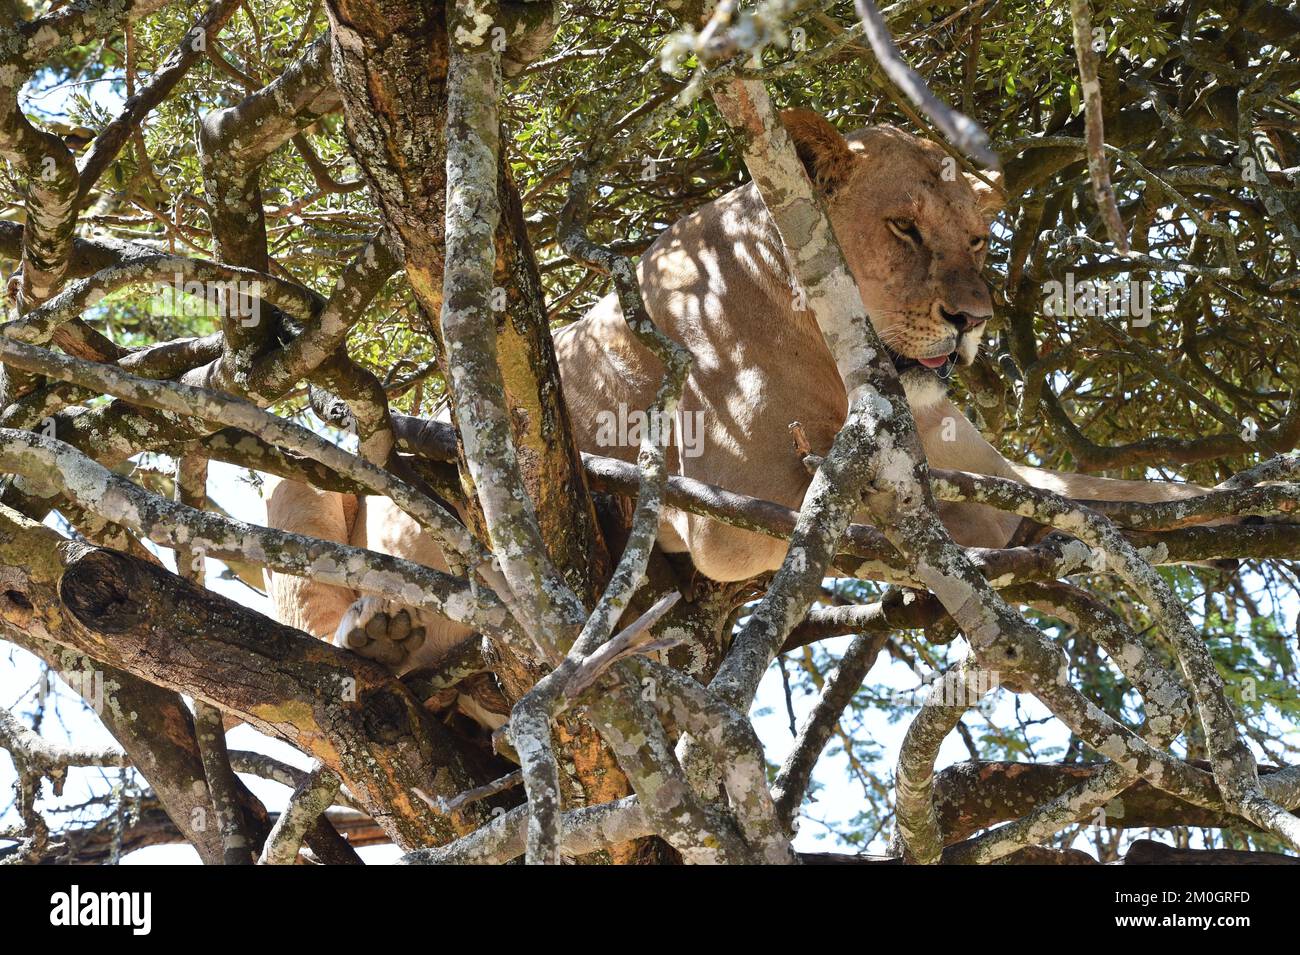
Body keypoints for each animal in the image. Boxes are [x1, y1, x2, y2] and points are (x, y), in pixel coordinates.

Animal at [262, 109, 1216, 696]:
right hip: (298, 483)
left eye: (979, 238)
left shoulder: (984, 469)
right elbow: (855, 508)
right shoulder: (724, 504)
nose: (973, 319)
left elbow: (1103, 498)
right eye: (904, 228)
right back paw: (378, 630)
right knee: (313, 591)